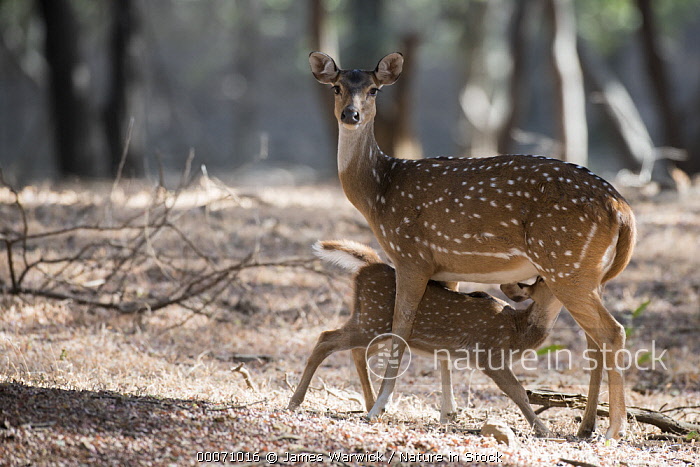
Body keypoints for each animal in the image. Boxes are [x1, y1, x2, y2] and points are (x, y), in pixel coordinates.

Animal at [288, 240, 562, 437]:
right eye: (543, 278)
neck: (518, 331)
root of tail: (368, 266)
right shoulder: (490, 354)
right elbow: (518, 391)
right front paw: (545, 430)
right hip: (372, 321)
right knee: (325, 338)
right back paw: (295, 402)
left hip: (377, 327)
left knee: (355, 350)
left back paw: (370, 404)